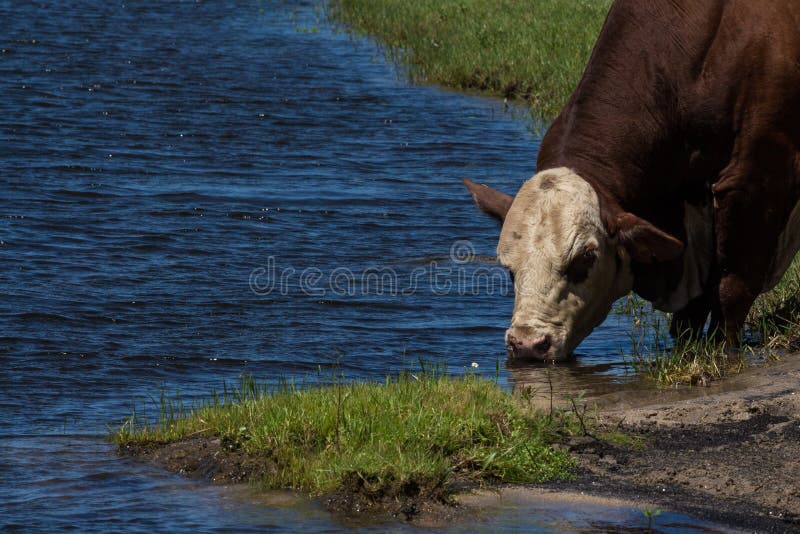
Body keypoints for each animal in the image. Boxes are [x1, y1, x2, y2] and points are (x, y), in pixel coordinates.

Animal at [465, 0, 800, 361]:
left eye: (585, 259)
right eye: (509, 269)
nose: (527, 344)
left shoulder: (756, 178)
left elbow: (732, 285)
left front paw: (724, 350)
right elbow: (695, 305)